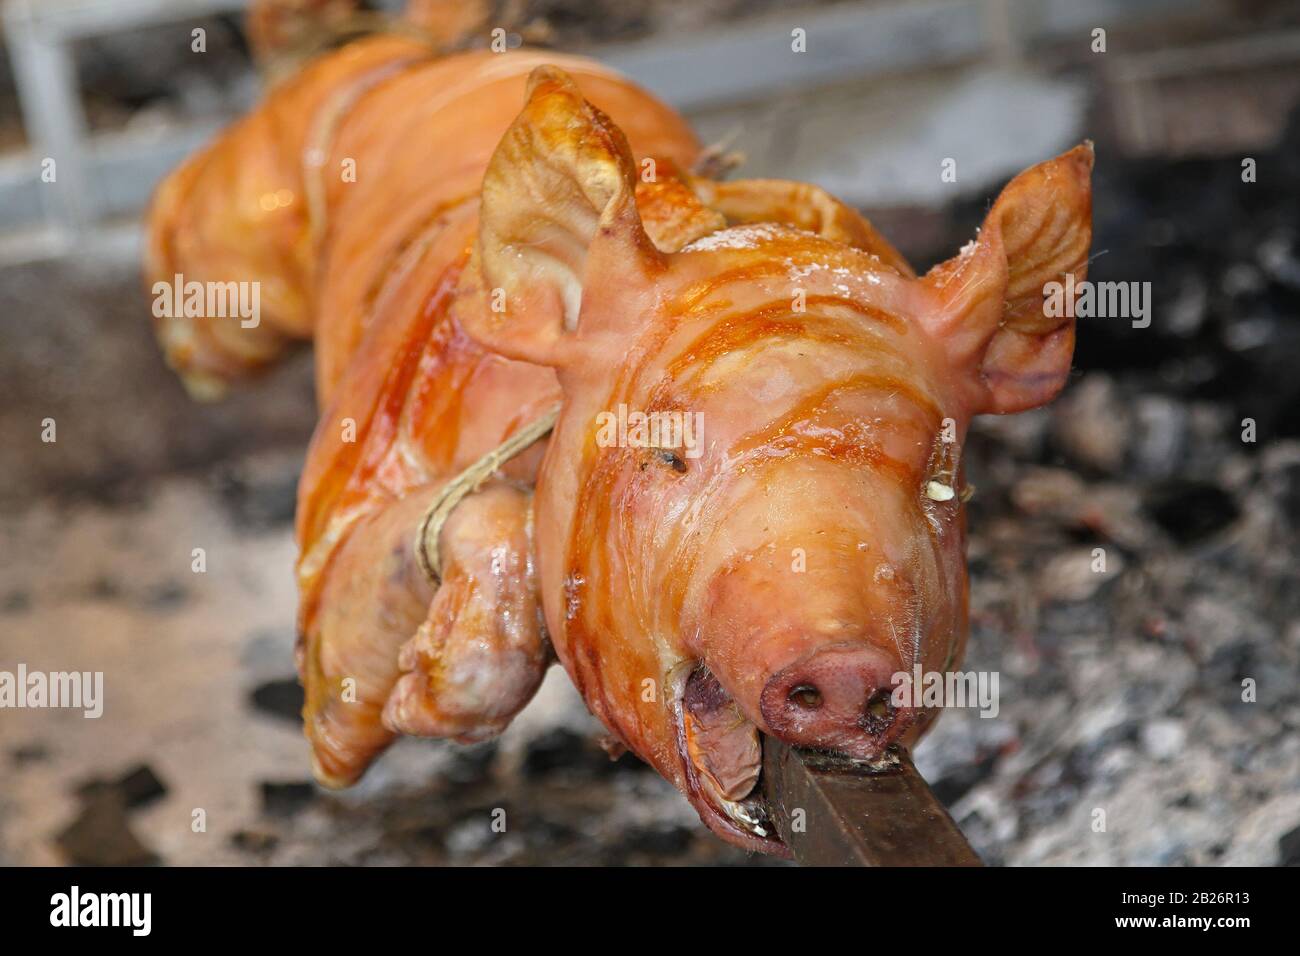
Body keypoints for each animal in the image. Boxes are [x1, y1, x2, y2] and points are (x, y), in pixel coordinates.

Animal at [146, 22, 1092, 855]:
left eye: (943, 486)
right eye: (665, 455)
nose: (844, 664)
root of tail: (426, 50)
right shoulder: (334, 522)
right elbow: (346, 669)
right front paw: (418, 700)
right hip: (236, 248)